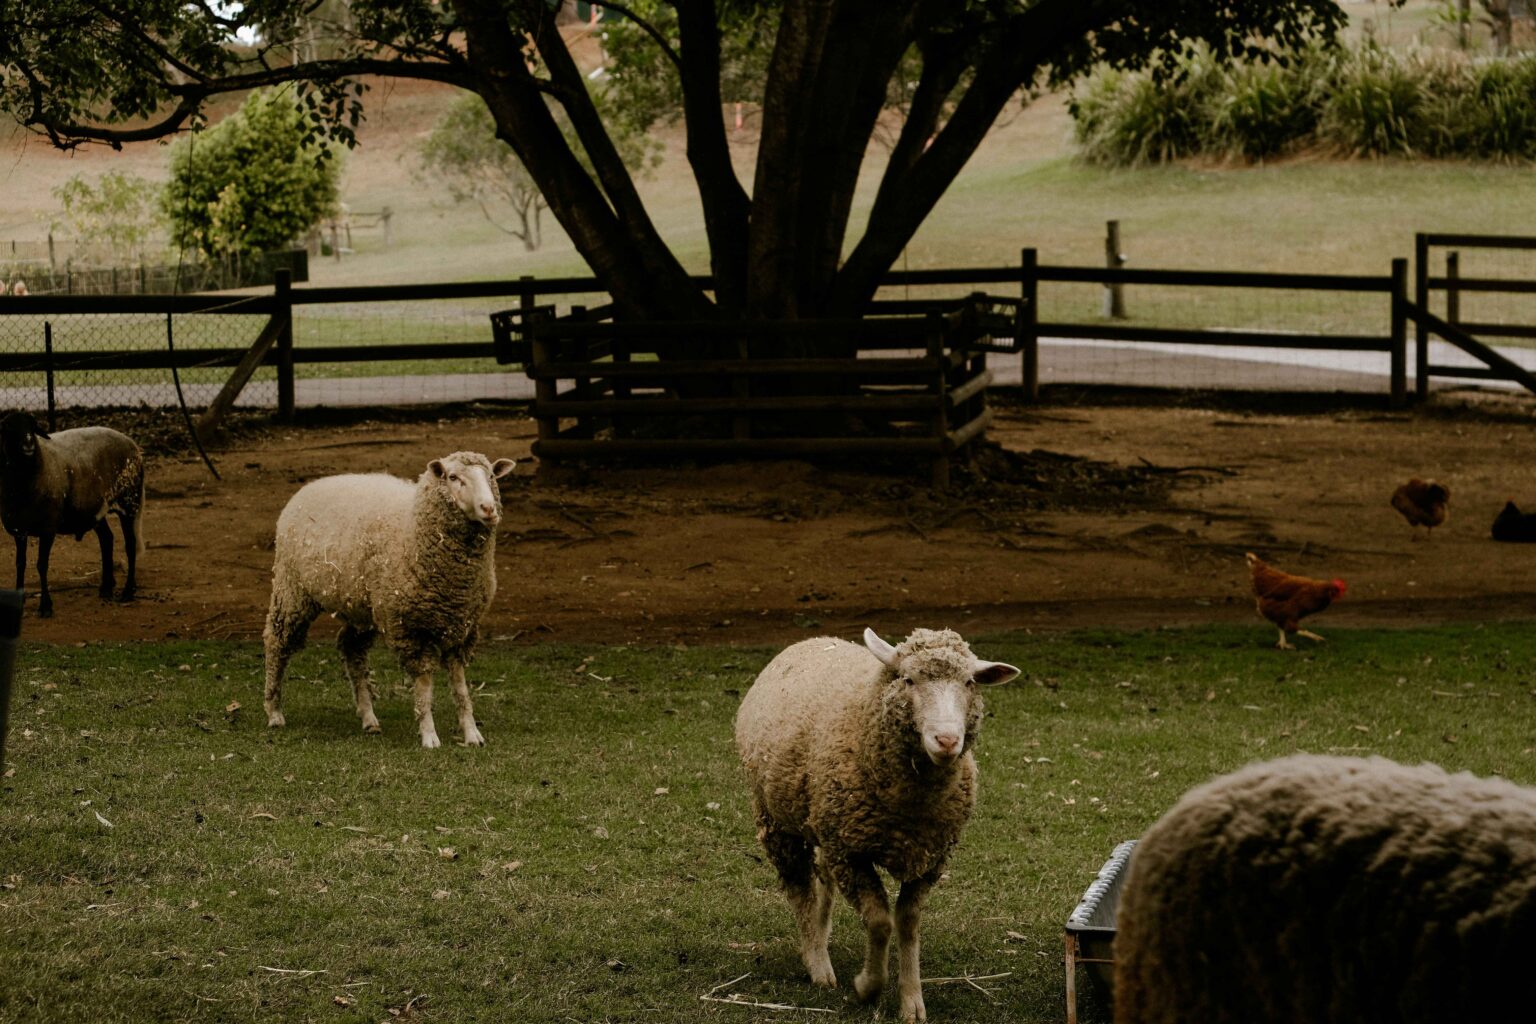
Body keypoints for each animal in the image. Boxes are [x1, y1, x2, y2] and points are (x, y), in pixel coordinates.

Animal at [0, 411, 144, 618]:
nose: (29, 445)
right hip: (96, 510)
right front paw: (19, 599)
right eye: (9, 428)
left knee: (130, 545)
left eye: (32, 427)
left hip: (129, 502)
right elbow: (20, 564)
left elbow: (41, 564)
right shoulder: (19, 529)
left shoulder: (48, 527)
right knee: (107, 539)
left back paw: (127, 591)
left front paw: (46, 606)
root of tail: (133, 445)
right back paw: (106, 588)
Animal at [262, 451, 515, 748]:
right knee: (277, 642)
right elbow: (424, 686)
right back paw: (274, 710)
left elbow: (460, 685)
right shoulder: (410, 629)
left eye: (491, 476)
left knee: (351, 648)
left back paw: (368, 717)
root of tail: (310, 486)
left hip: (361, 607)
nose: (489, 509)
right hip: (292, 589)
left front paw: (471, 732)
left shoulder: (461, 627)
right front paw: (429, 734)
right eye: (453, 477)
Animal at [735, 627, 1020, 1023]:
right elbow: (881, 922)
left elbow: (908, 922)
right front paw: (867, 986)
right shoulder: (852, 854)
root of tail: (815, 639)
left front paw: (911, 999)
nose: (947, 741)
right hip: (778, 821)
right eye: (909, 679)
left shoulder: (929, 858)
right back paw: (817, 962)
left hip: (823, 824)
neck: (909, 806)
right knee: (799, 890)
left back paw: (820, 937)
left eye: (968, 682)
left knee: (822, 880)